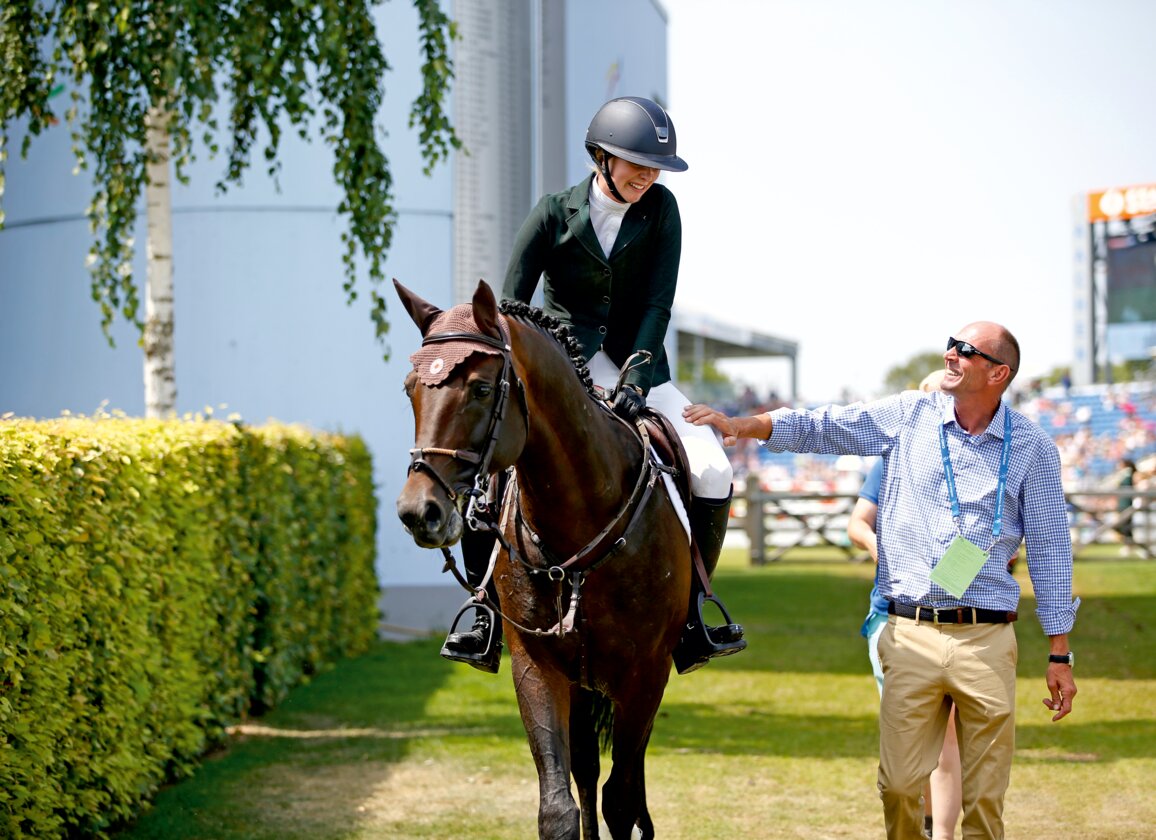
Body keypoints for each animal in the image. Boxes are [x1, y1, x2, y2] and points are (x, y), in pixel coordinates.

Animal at [394, 278, 695, 840]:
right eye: (410, 389)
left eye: (481, 389)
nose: (418, 513)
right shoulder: (538, 664)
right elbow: (558, 807)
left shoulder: (645, 671)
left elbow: (621, 799)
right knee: (587, 769)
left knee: (625, 776)